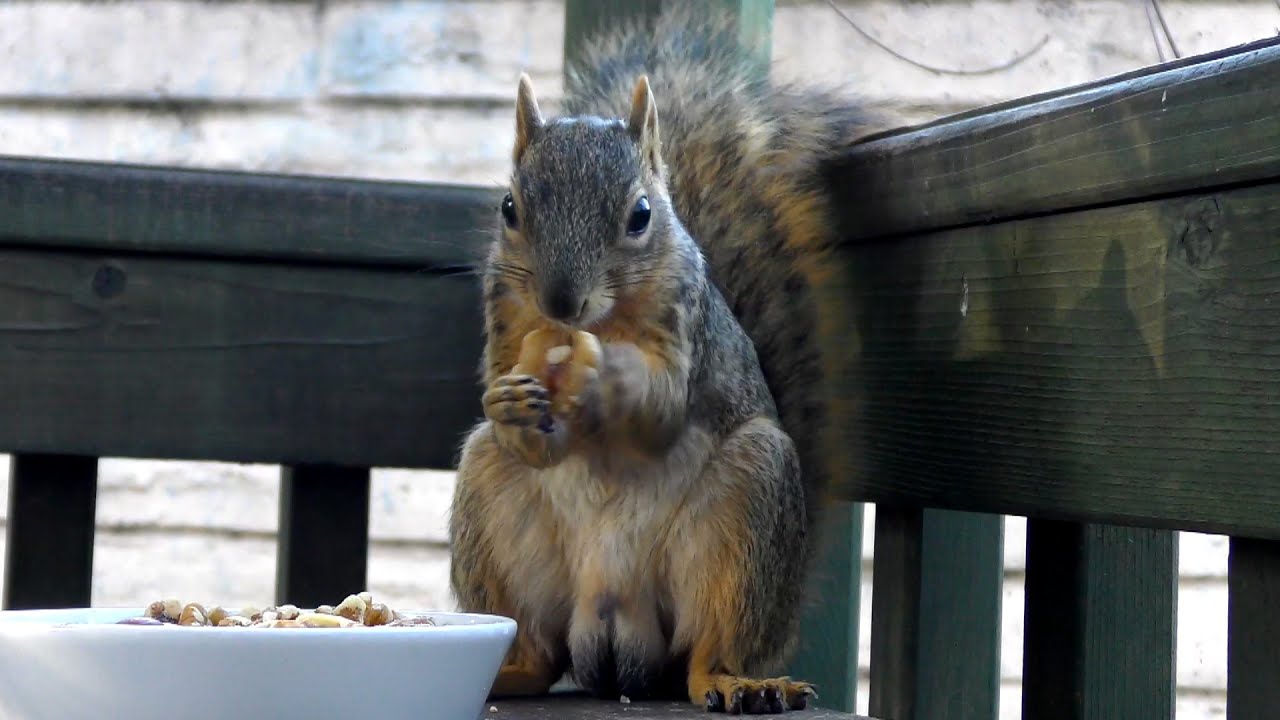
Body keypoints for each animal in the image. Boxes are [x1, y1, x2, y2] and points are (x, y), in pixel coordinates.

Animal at [449, 6, 876, 715]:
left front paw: (609, 373)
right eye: (509, 208)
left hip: (745, 508)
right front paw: (507, 401)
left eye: (640, 215)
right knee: (539, 650)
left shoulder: (685, 325)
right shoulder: (505, 319)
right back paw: (508, 672)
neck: (597, 323)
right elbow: (534, 435)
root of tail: (612, 618)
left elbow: (663, 410)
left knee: (707, 650)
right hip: (495, 502)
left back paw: (737, 682)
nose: (560, 302)